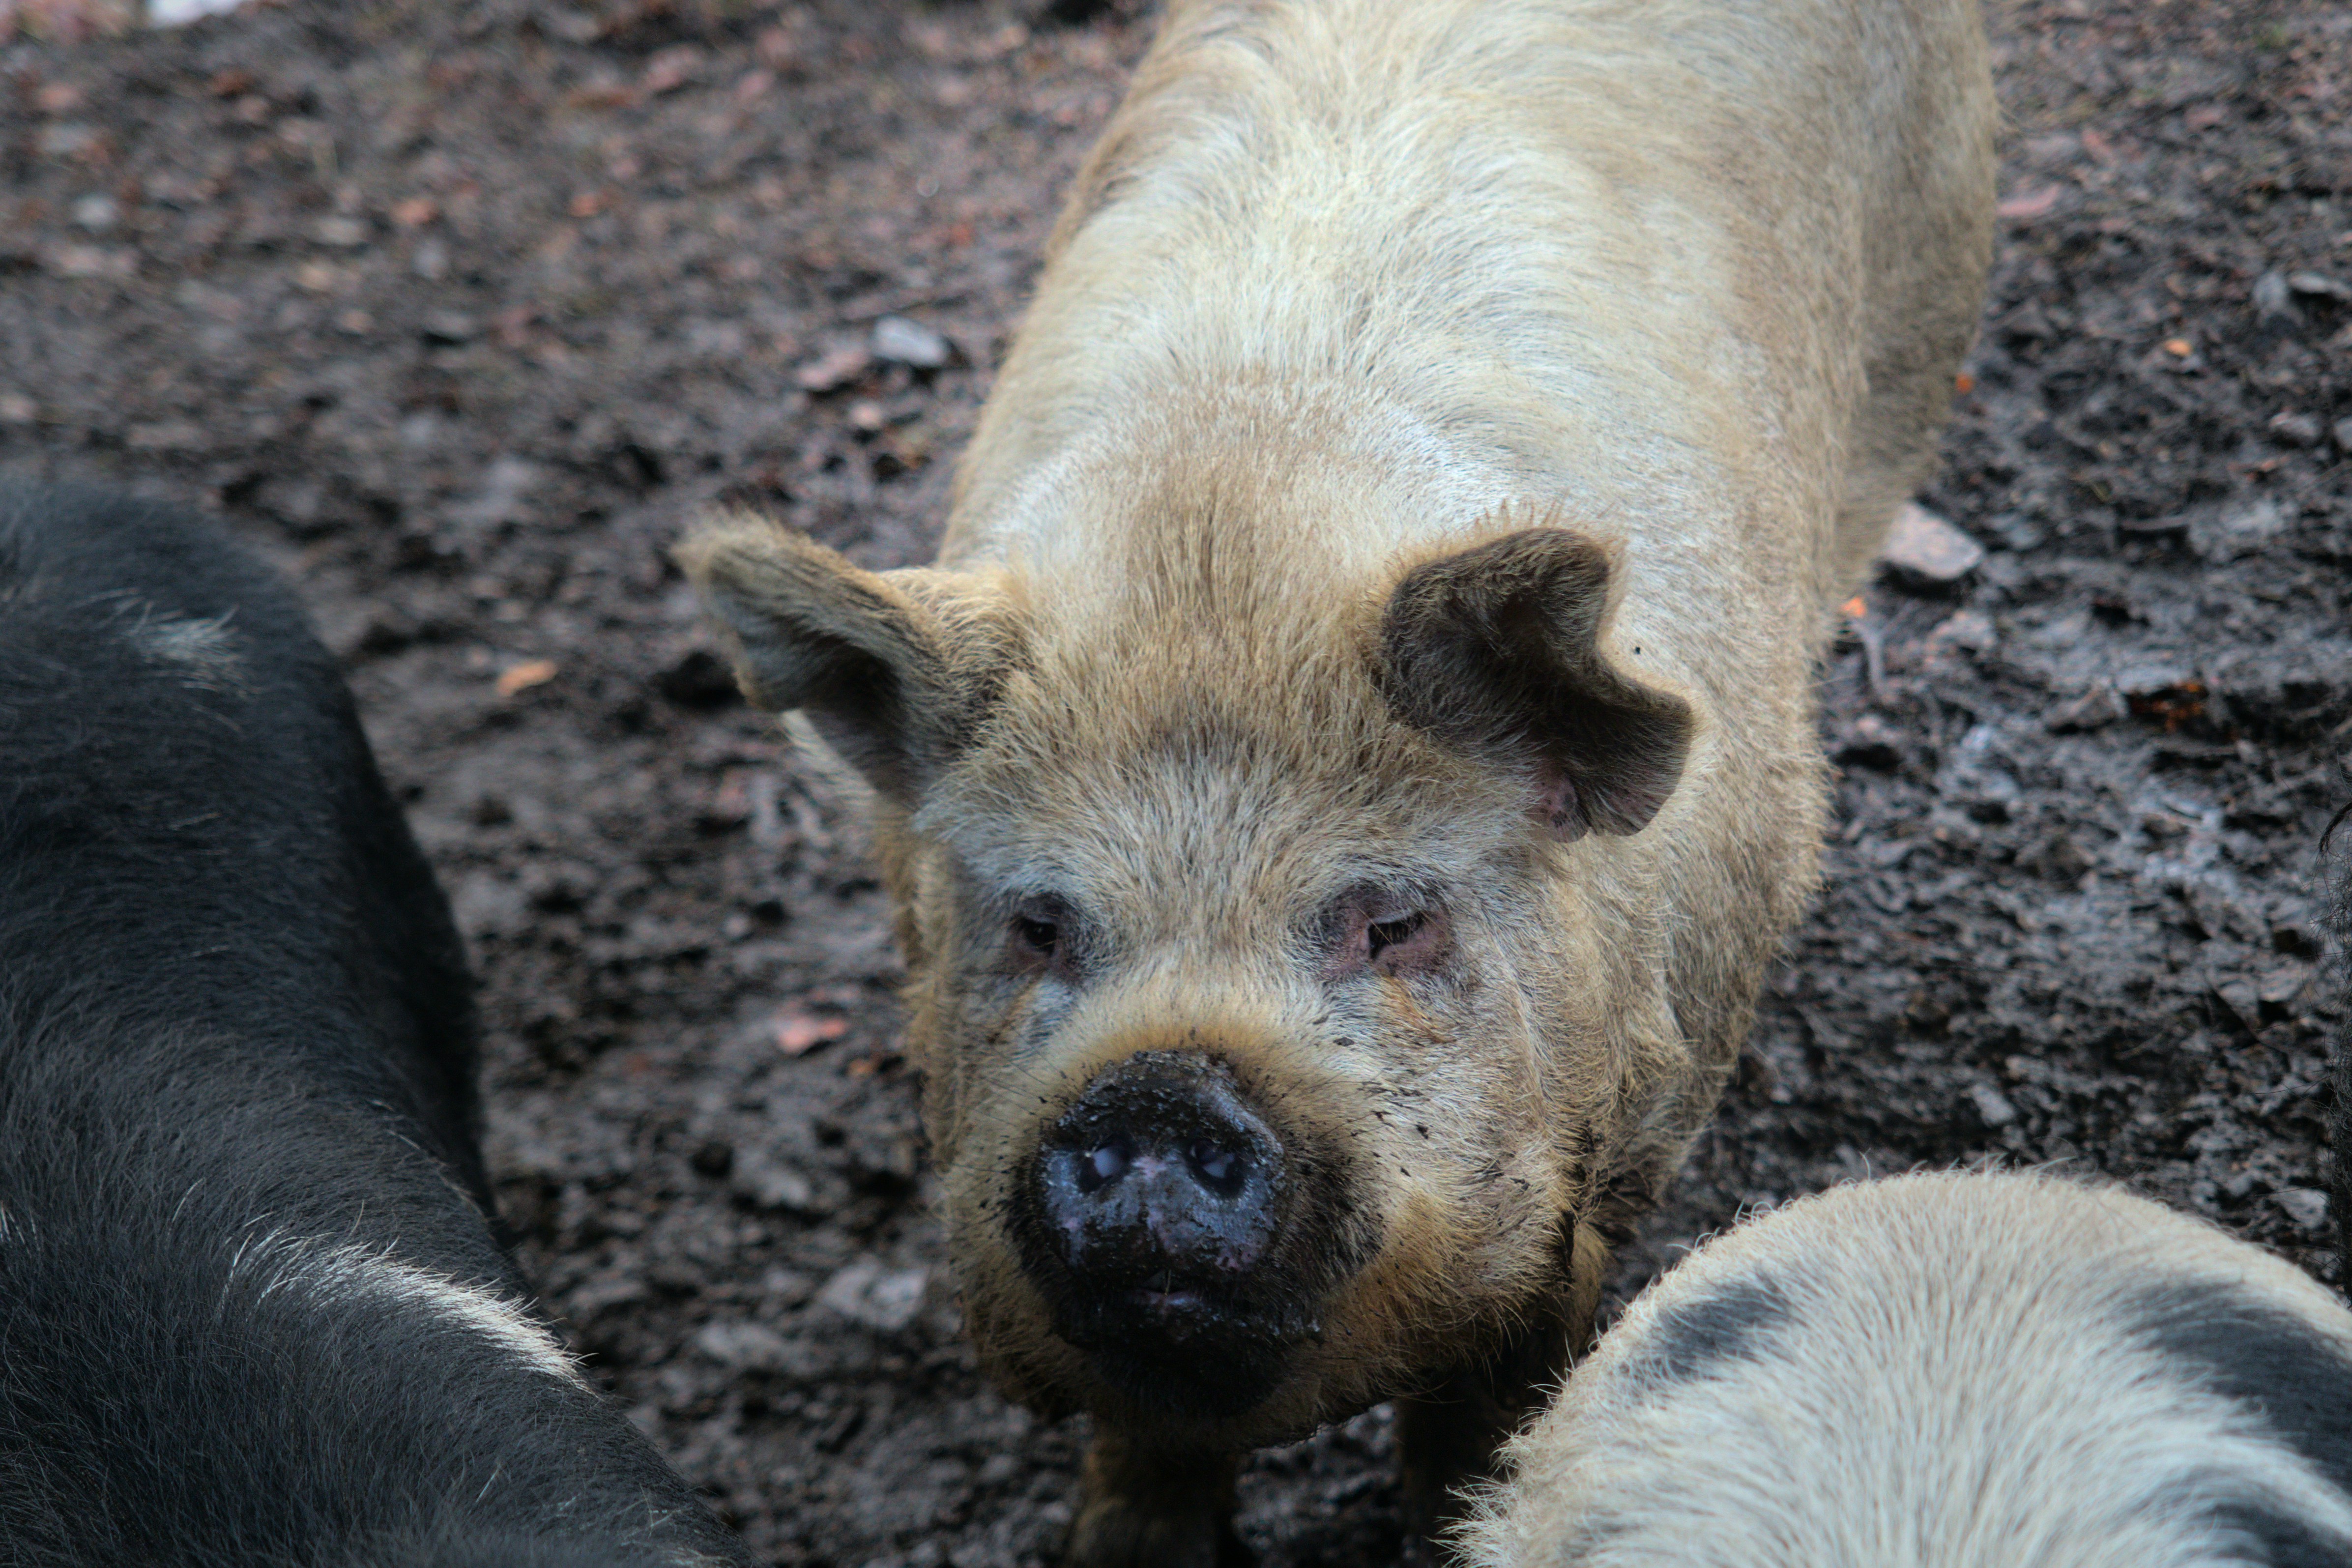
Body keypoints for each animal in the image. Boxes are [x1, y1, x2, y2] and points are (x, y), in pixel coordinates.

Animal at [682, 0, 1996, 1559]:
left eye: (1392, 918)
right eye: (1038, 922)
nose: (1159, 1090)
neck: (1234, 549)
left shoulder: (1618, 1154)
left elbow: (1484, 1403)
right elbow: (1141, 1440)